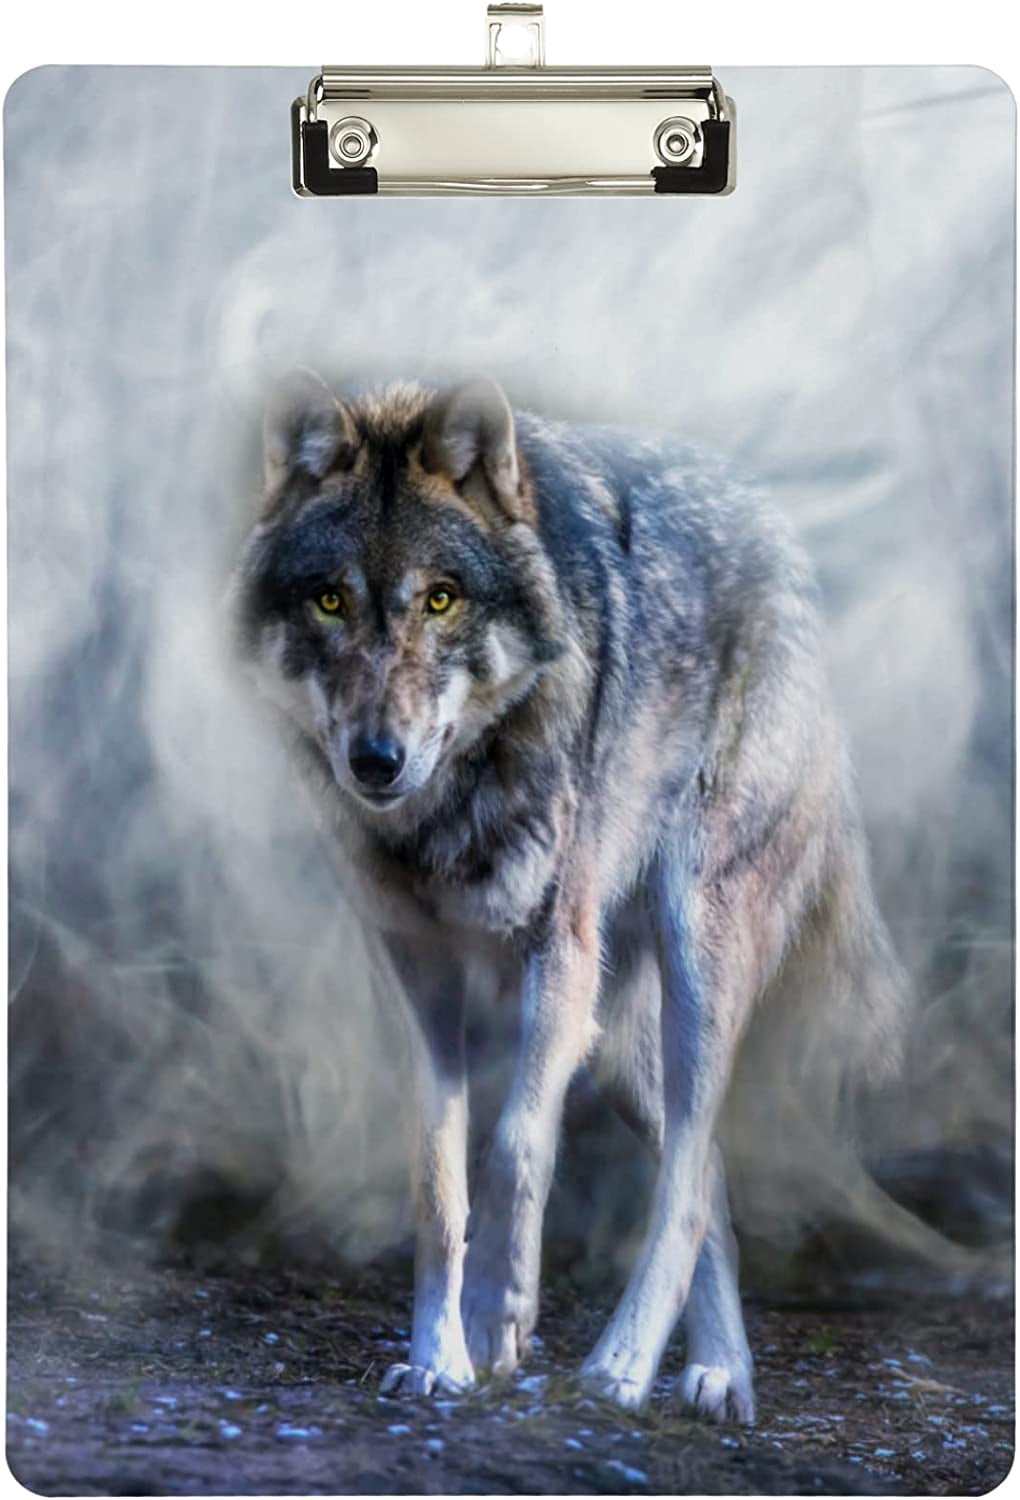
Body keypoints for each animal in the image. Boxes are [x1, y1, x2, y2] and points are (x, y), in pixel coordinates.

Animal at [228, 370, 906, 1420]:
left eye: (441, 599)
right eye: (331, 600)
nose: (377, 760)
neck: (457, 803)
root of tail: (781, 540)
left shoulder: (559, 954)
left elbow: (514, 1149)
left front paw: (495, 1323)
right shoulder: (421, 983)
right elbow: (438, 1183)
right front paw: (436, 1361)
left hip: (696, 961)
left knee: (686, 1185)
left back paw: (624, 1367)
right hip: (622, 1046)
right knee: (709, 1174)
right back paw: (719, 1373)